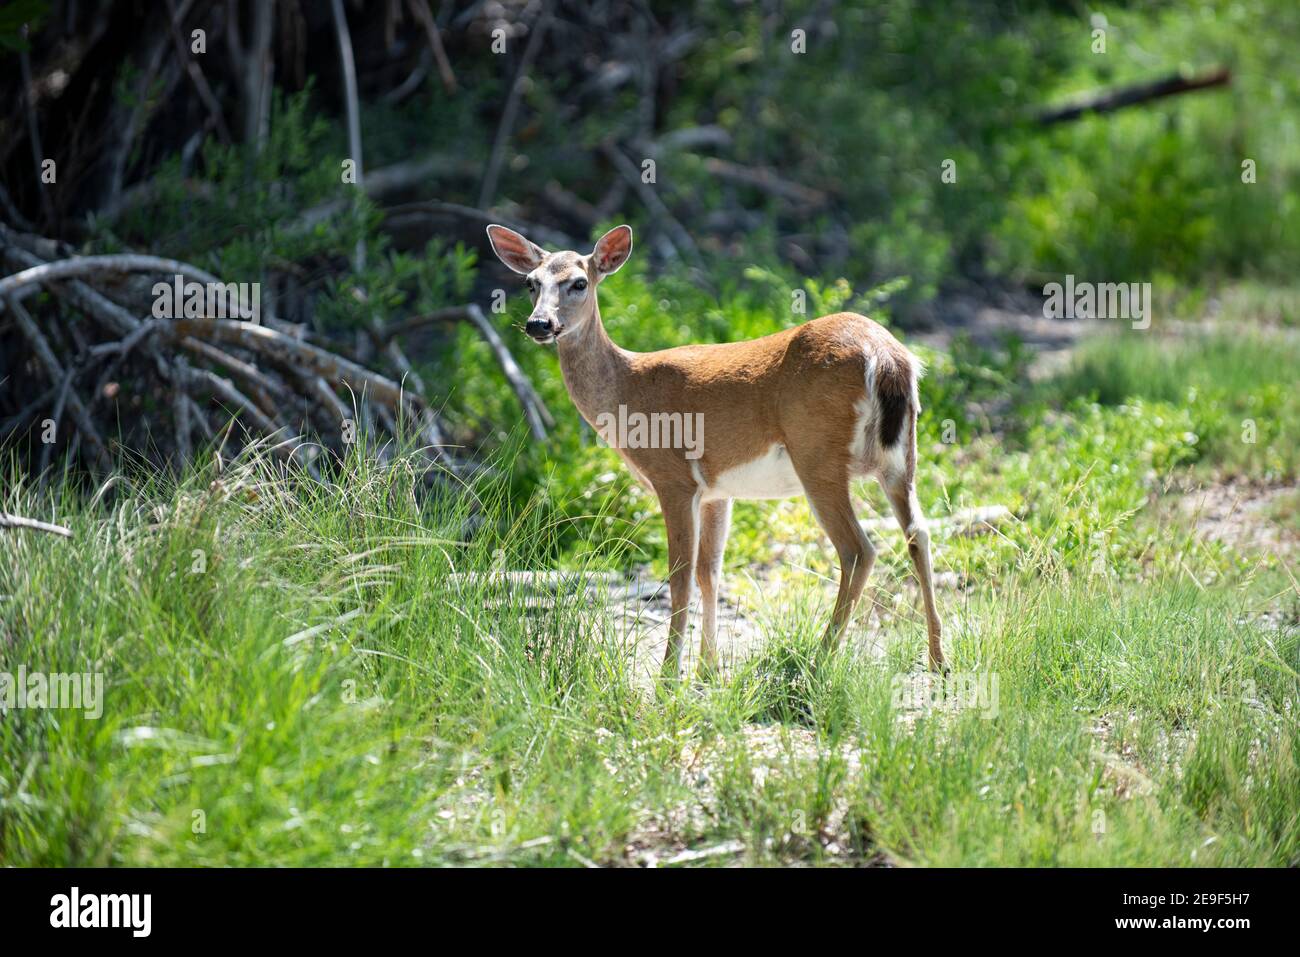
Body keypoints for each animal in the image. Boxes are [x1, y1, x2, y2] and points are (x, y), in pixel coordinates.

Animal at [486, 223, 946, 680]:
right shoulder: (717, 490)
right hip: (901, 458)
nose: (539, 323)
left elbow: (680, 577)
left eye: (579, 282)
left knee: (858, 549)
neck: (624, 389)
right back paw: (938, 659)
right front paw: (707, 669)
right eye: (530, 283)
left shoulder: (673, 477)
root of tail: (885, 357)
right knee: (918, 532)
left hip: (818, 455)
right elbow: (710, 571)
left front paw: (669, 677)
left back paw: (820, 659)